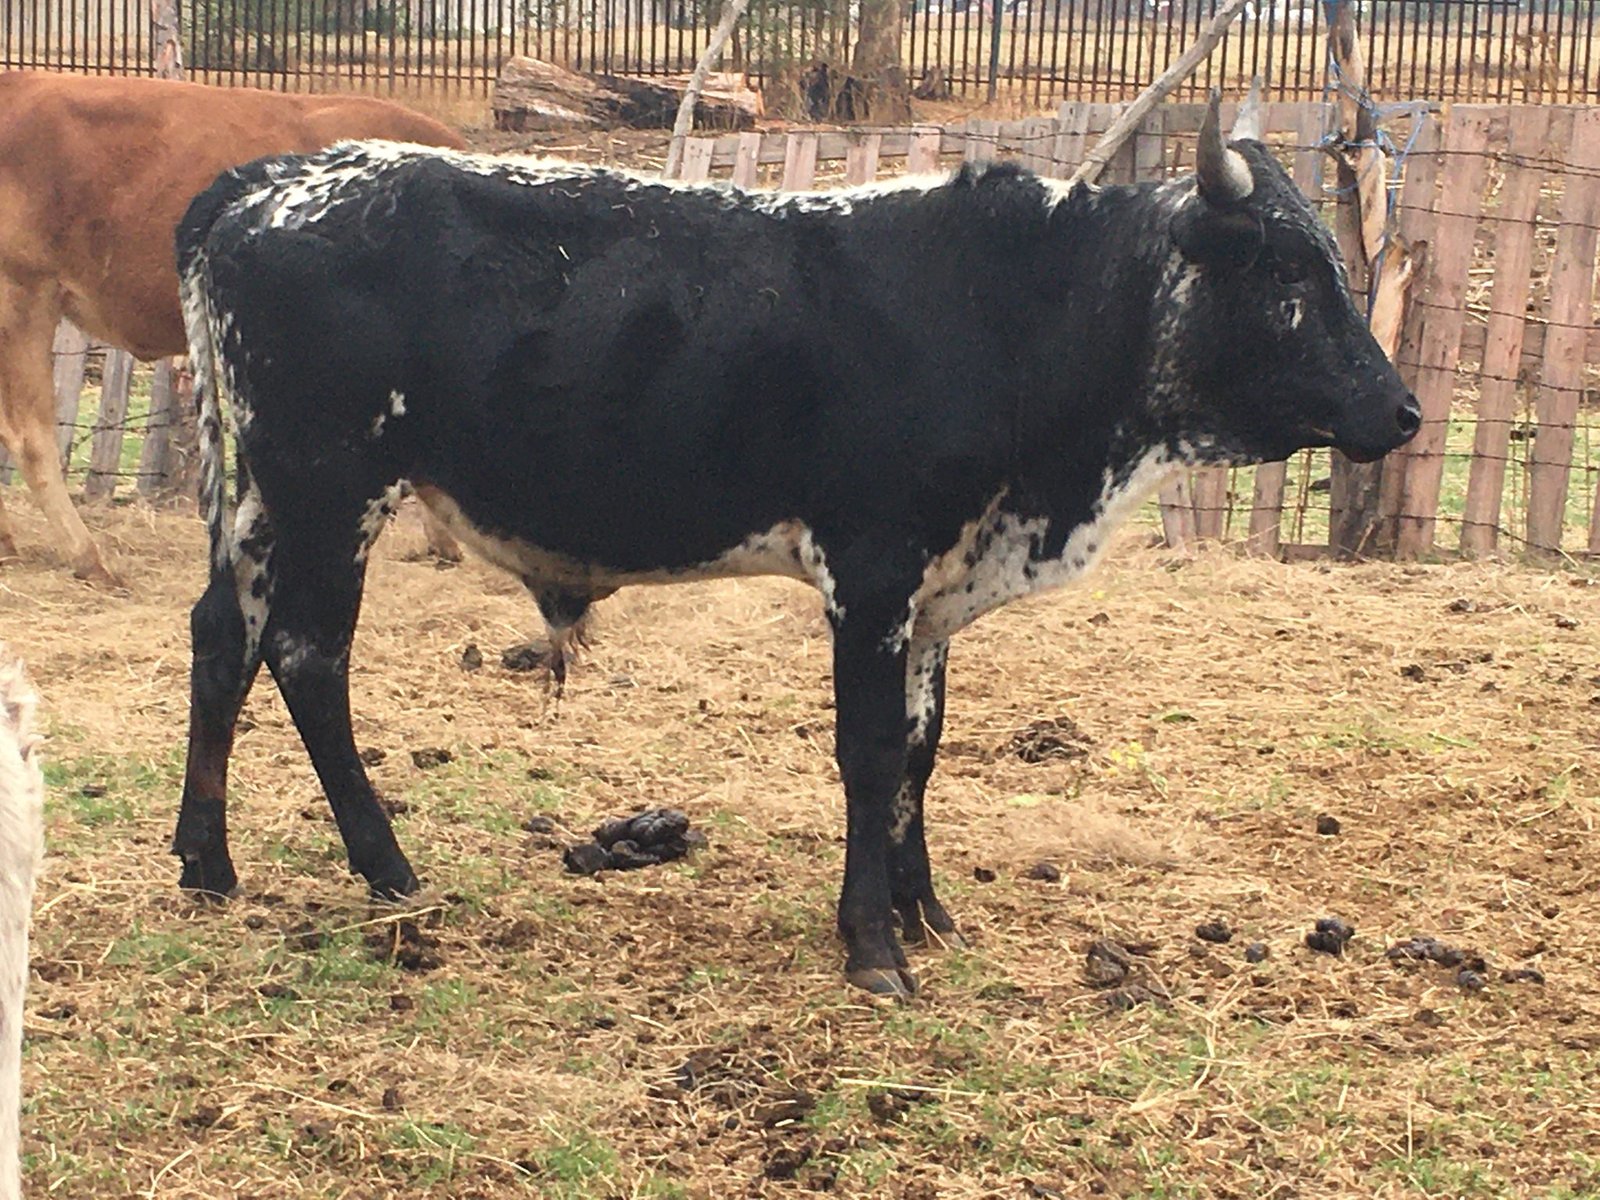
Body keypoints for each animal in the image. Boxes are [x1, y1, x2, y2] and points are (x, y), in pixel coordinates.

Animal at [171, 95, 1420, 997]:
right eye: (1285, 274)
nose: (1401, 412)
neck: (1018, 305)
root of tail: (266, 183)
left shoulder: (936, 585)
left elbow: (919, 749)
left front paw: (927, 910)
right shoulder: (871, 565)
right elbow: (867, 754)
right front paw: (873, 943)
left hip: (257, 498)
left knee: (221, 640)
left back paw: (207, 865)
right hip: (331, 490)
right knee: (307, 658)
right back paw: (389, 872)